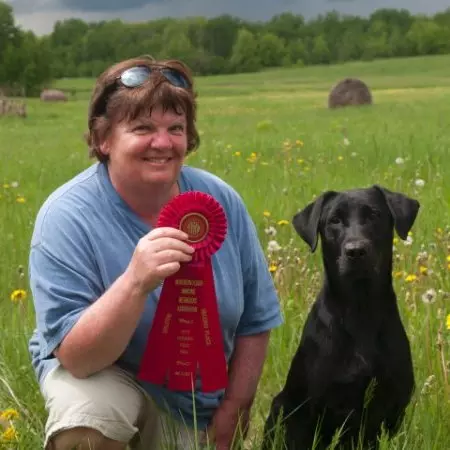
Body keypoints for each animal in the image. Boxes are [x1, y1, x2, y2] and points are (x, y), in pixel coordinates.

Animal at [262, 185, 420, 448]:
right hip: (281, 406)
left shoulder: (392, 407)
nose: (355, 251)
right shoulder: (313, 409)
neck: (359, 311)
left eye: (374, 215)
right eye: (334, 220)